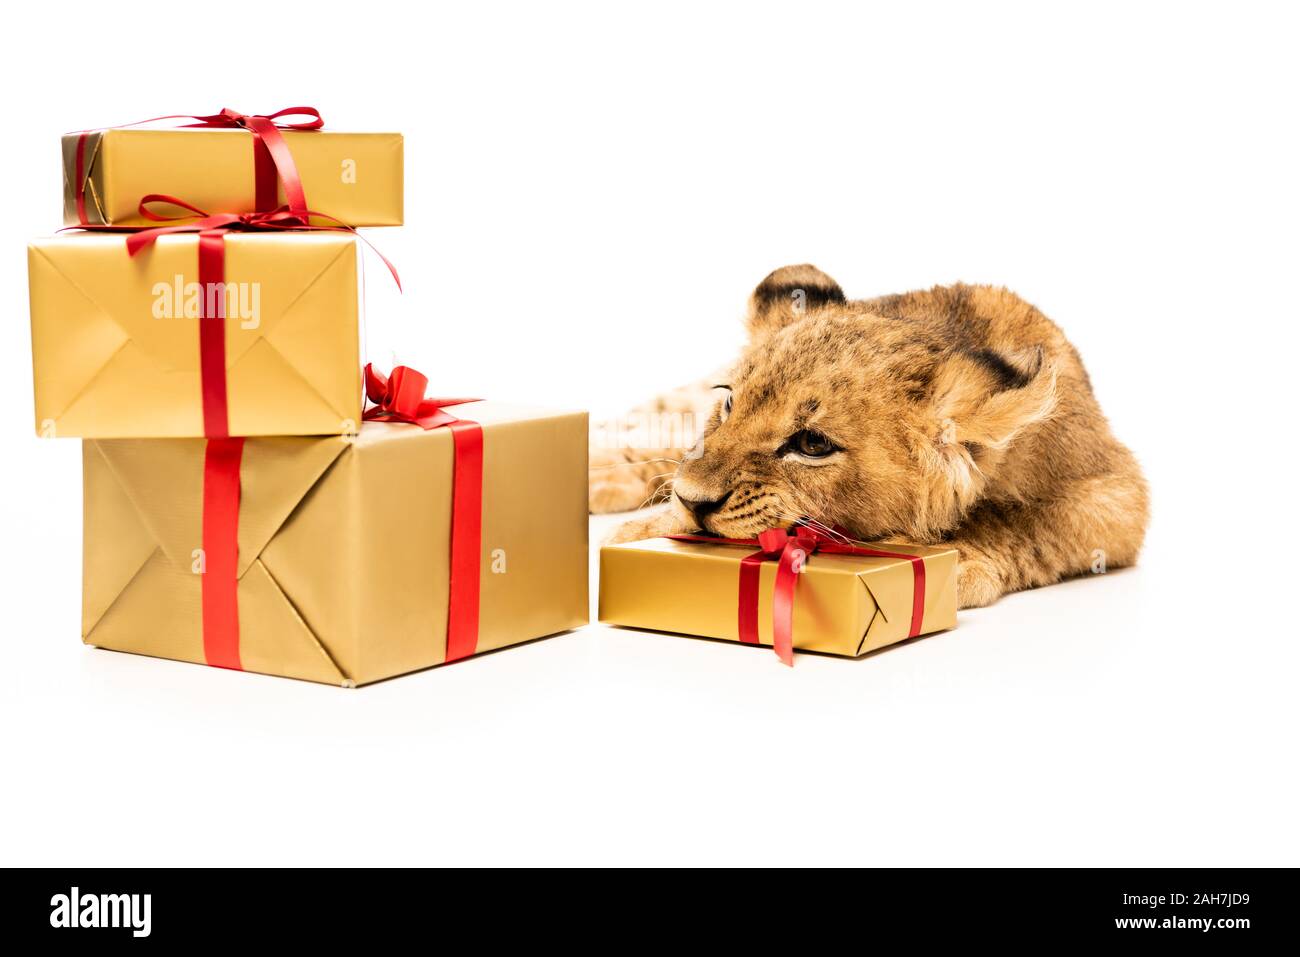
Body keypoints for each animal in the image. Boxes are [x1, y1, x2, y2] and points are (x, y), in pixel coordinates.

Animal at [590, 265, 1149, 608]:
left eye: (812, 445)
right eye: (729, 403)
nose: (691, 499)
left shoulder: (1115, 493)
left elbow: (1022, 521)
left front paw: (959, 557)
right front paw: (642, 528)